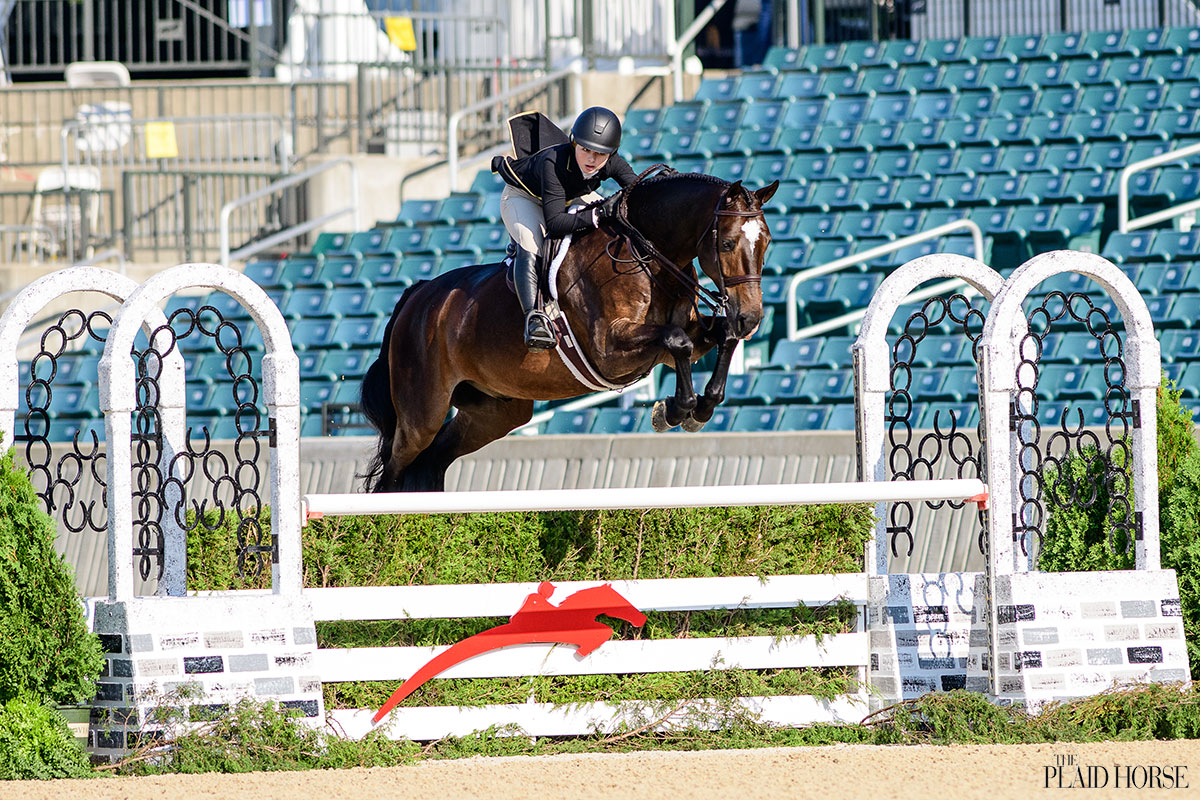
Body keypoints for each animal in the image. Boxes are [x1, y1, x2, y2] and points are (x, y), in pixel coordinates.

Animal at [360, 170, 779, 492]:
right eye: (727, 243)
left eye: (767, 242)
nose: (751, 318)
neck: (648, 255)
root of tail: (417, 296)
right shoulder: (610, 351)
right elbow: (677, 342)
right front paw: (676, 410)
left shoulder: (682, 334)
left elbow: (718, 337)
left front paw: (699, 408)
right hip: (423, 413)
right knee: (395, 469)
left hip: (496, 412)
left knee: (432, 461)